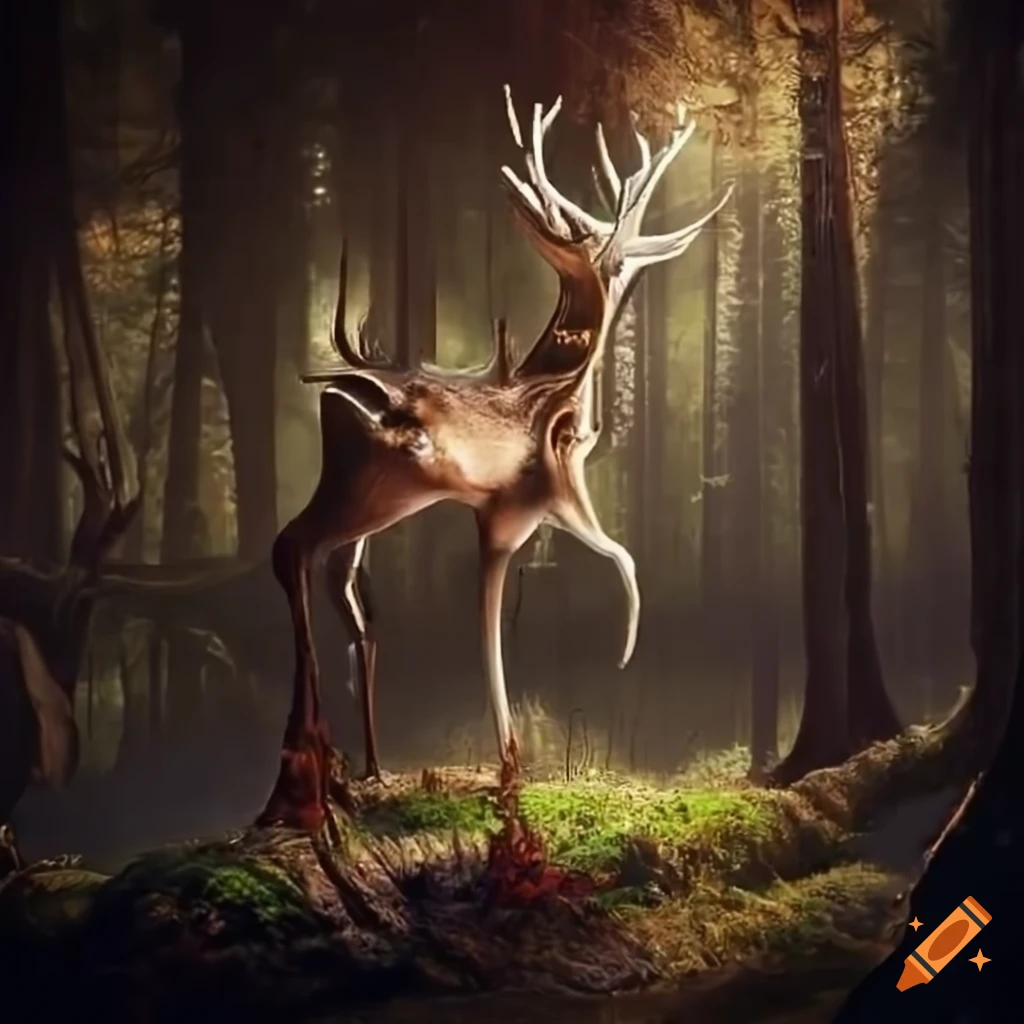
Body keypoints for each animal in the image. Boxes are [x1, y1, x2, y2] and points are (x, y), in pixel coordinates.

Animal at [257, 86, 733, 832]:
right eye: (611, 261)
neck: (565, 381)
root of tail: (337, 392)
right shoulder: (536, 501)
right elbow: (607, 568)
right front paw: (515, 761)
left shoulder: (521, 510)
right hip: (374, 490)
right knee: (292, 544)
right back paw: (304, 782)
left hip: (367, 503)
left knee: (338, 582)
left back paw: (357, 769)